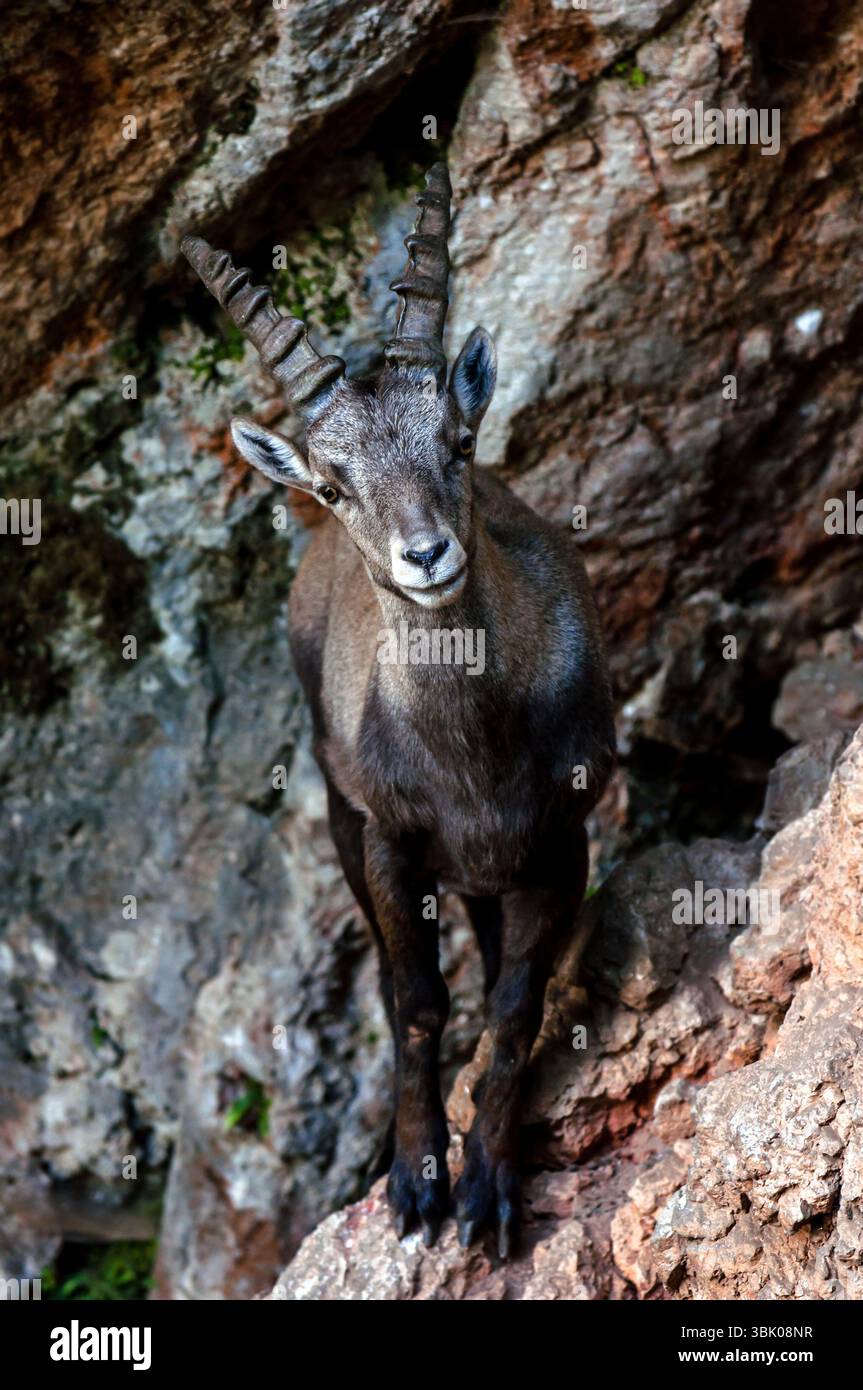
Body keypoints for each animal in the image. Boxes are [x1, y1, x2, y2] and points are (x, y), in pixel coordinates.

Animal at [182, 164, 616, 1257]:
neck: (469, 756)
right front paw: (417, 1181)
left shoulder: (557, 837)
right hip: (343, 815)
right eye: (335, 486)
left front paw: (488, 1191)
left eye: (457, 442)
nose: (425, 555)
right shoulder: (387, 839)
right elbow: (416, 1002)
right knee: (390, 979)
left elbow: (511, 1005)